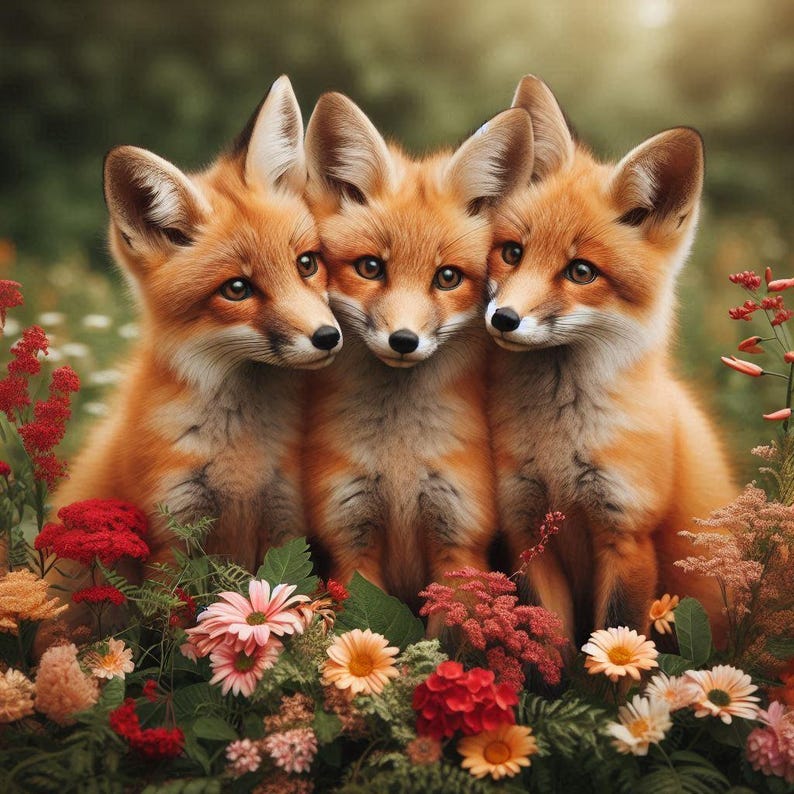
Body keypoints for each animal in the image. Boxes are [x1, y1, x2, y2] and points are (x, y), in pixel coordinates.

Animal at [51, 76, 341, 592]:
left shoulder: (286, 520)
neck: (241, 456)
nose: (328, 336)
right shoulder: (173, 533)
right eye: (237, 289)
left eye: (307, 263)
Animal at [302, 92, 533, 611]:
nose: (403, 341)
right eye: (370, 267)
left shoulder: (459, 542)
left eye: (447, 277)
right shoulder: (349, 541)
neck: (400, 465)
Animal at [486, 75, 734, 646]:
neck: (558, 445)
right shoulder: (527, 530)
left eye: (581, 272)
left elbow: (611, 645)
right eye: (511, 253)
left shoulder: (627, 534)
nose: (503, 319)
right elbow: (549, 649)